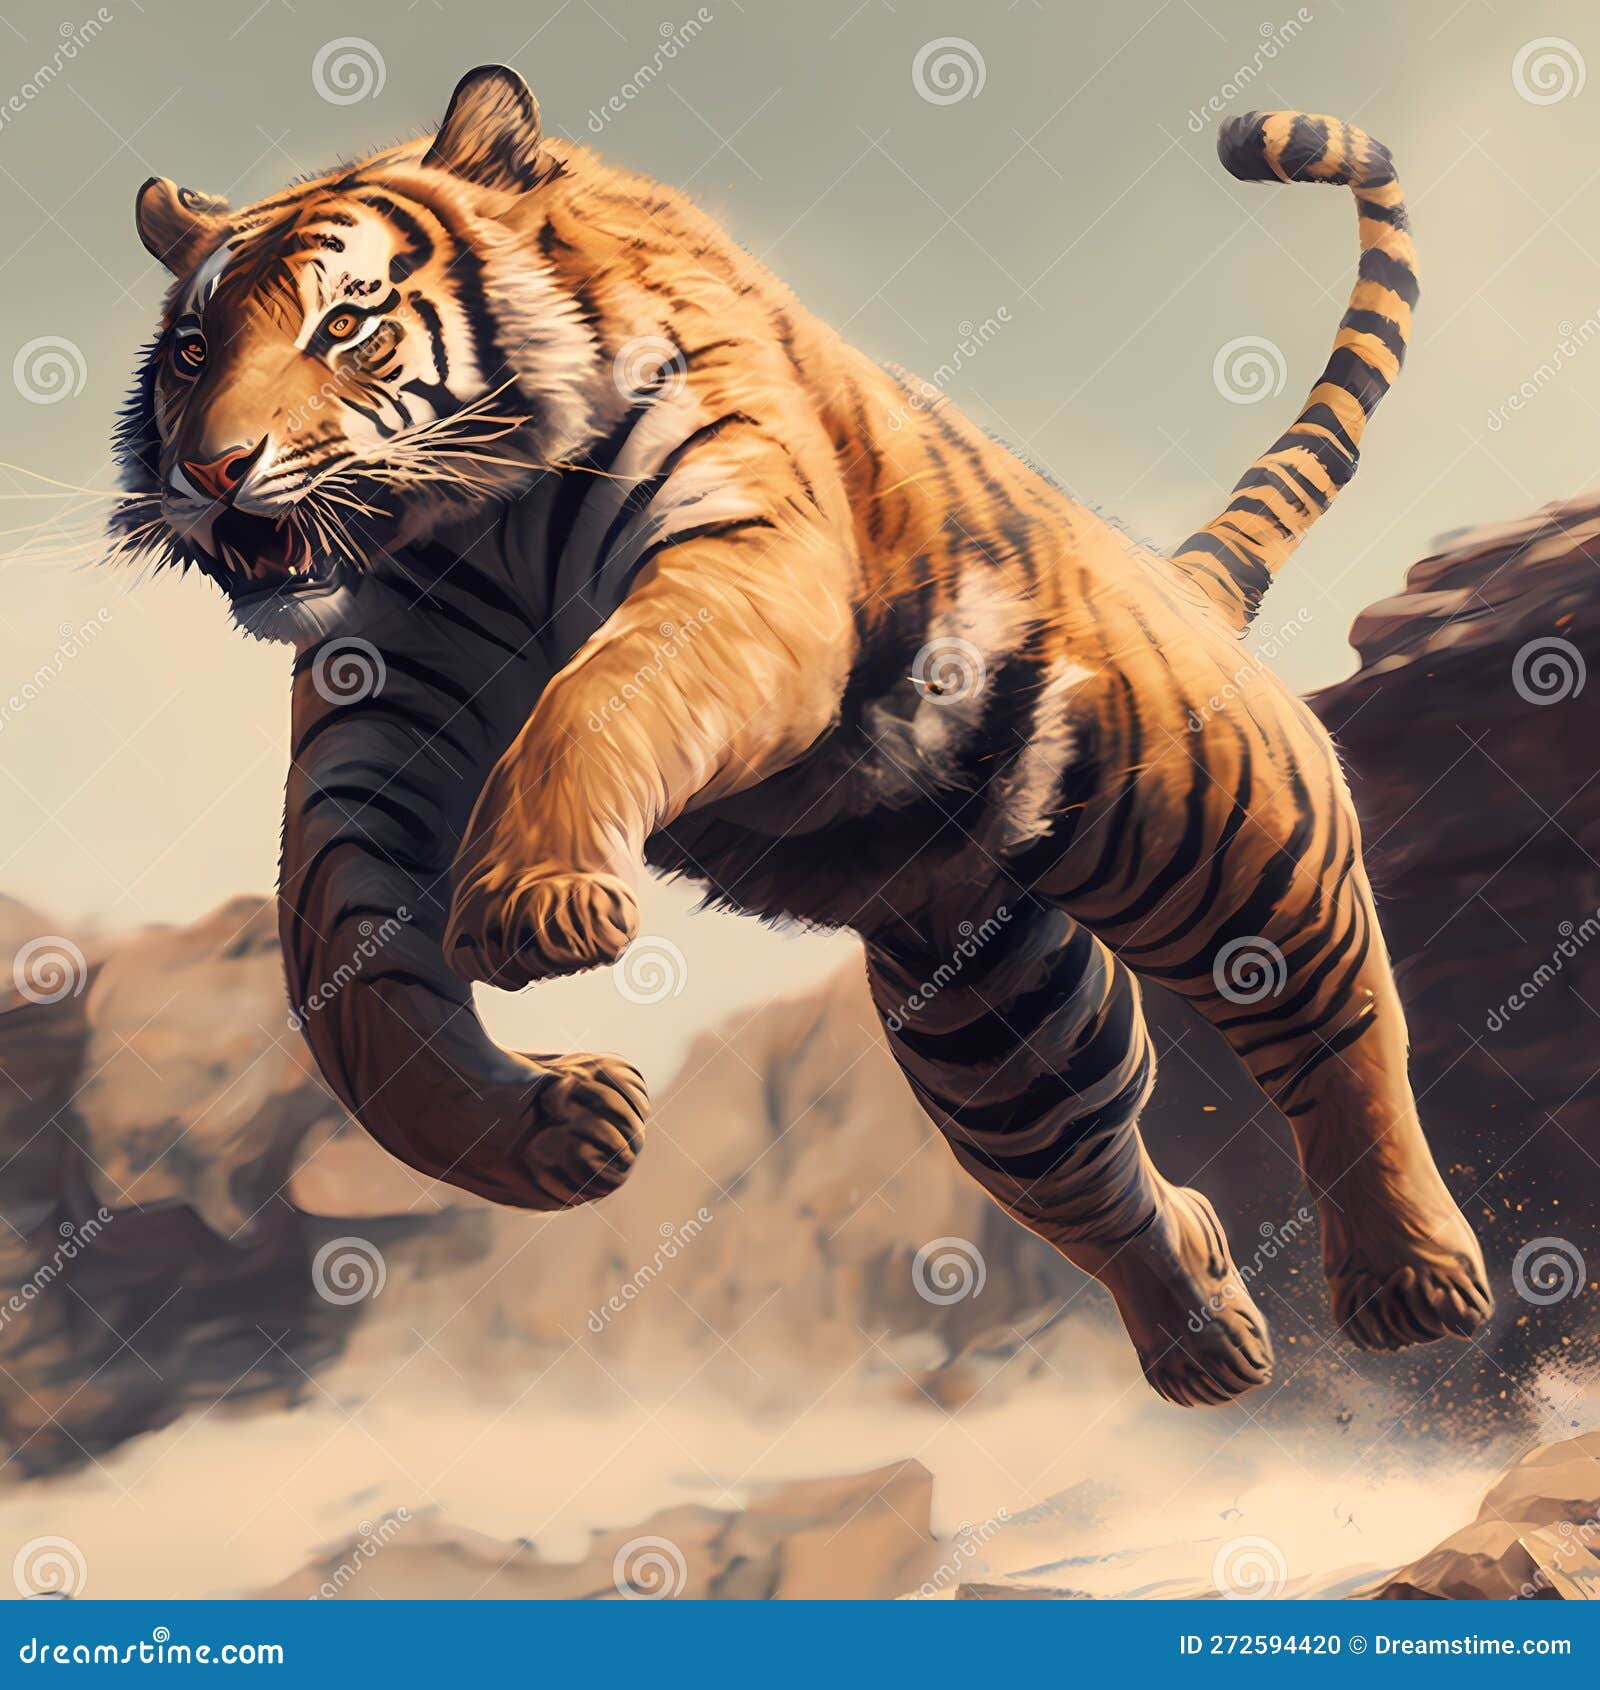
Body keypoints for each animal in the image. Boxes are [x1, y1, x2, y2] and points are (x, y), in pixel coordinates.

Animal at [113, 67, 1492, 1406]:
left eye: (344, 325)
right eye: (191, 349)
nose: (212, 472)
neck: (472, 523)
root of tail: (1175, 579)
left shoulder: (744, 559)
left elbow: (593, 698)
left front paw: (534, 905)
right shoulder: (377, 728)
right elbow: (352, 982)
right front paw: (557, 1130)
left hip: (1221, 834)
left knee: (1340, 1027)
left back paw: (1412, 1281)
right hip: (993, 1027)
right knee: (1099, 1174)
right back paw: (1205, 1342)